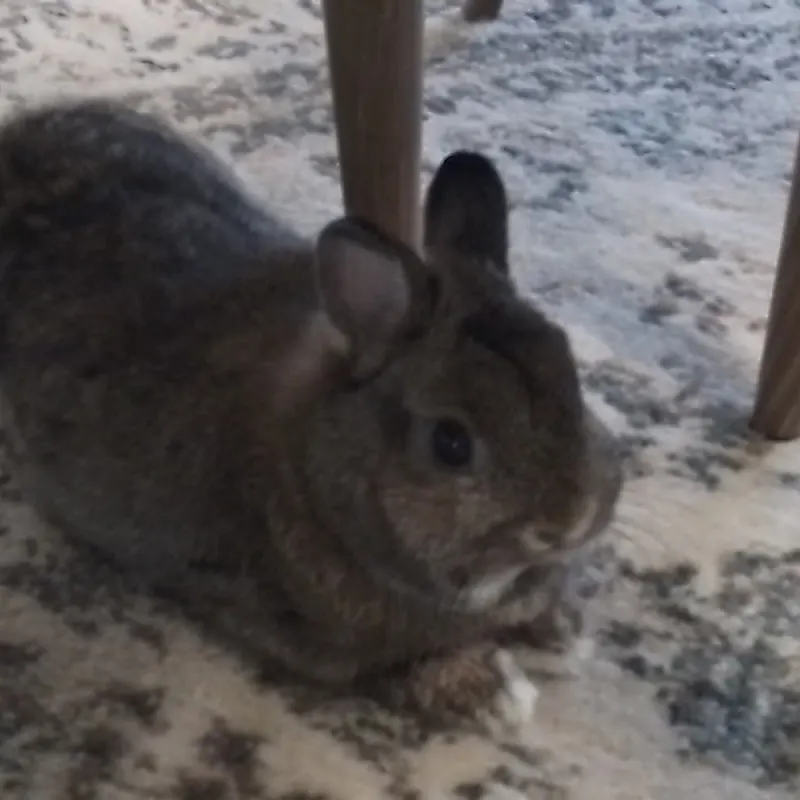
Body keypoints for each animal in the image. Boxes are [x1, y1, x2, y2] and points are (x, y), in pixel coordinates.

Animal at [0, 98, 622, 722]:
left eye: (570, 375)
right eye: (450, 444)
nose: (570, 520)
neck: (318, 471)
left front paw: (562, 634)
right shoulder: (306, 638)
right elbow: (391, 669)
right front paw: (496, 692)